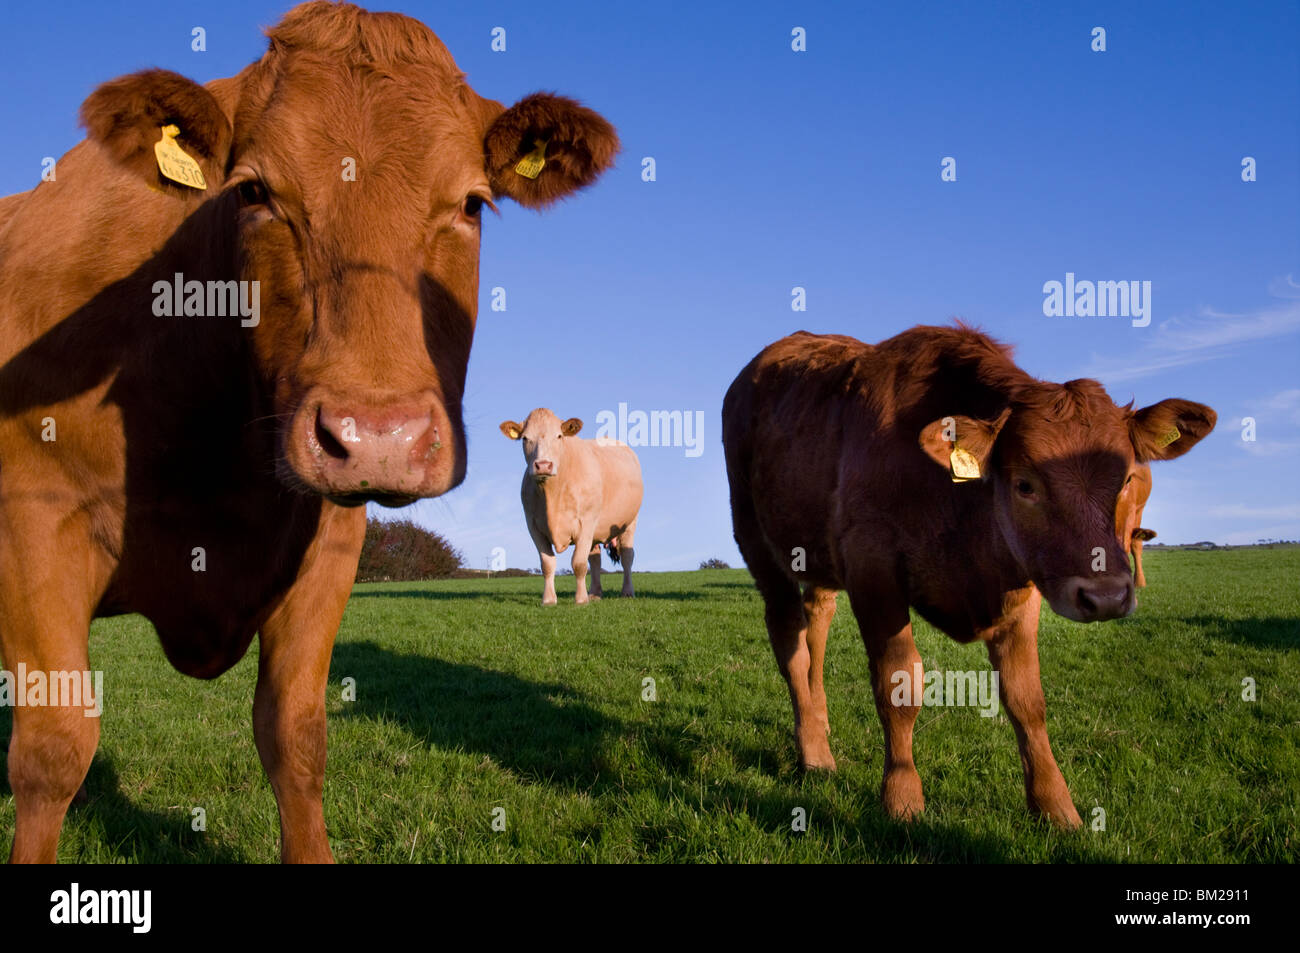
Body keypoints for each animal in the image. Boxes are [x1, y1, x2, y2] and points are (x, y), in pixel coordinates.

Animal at [0, 1, 617, 863]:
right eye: (255, 191)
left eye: (471, 203)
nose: (380, 436)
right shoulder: (31, 527)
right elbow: (54, 750)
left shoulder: (329, 541)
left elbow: (294, 735)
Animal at [500, 409, 642, 605]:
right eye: (525, 438)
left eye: (559, 436)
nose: (543, 465)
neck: (552, 495)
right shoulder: (533, 526)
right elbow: (547, 564)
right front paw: (549, 599)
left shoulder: (587, 522)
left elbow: (579, 563)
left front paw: (581, 600)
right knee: (595, 558)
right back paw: (595, 593)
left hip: (629, 522)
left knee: (627, 557)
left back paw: (627, 592)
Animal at [722, 325, 1216, 828]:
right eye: (1024, 484)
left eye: (1127, 479)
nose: (1107, 596)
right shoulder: (873, 569)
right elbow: (899, 685)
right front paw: (901, 797)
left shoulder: (1023, 588)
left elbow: (1026, 698)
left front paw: (1056, 806)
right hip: (759, 542)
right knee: (790, 642)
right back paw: (813, 752)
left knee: (816, 628)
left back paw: (819, 731)